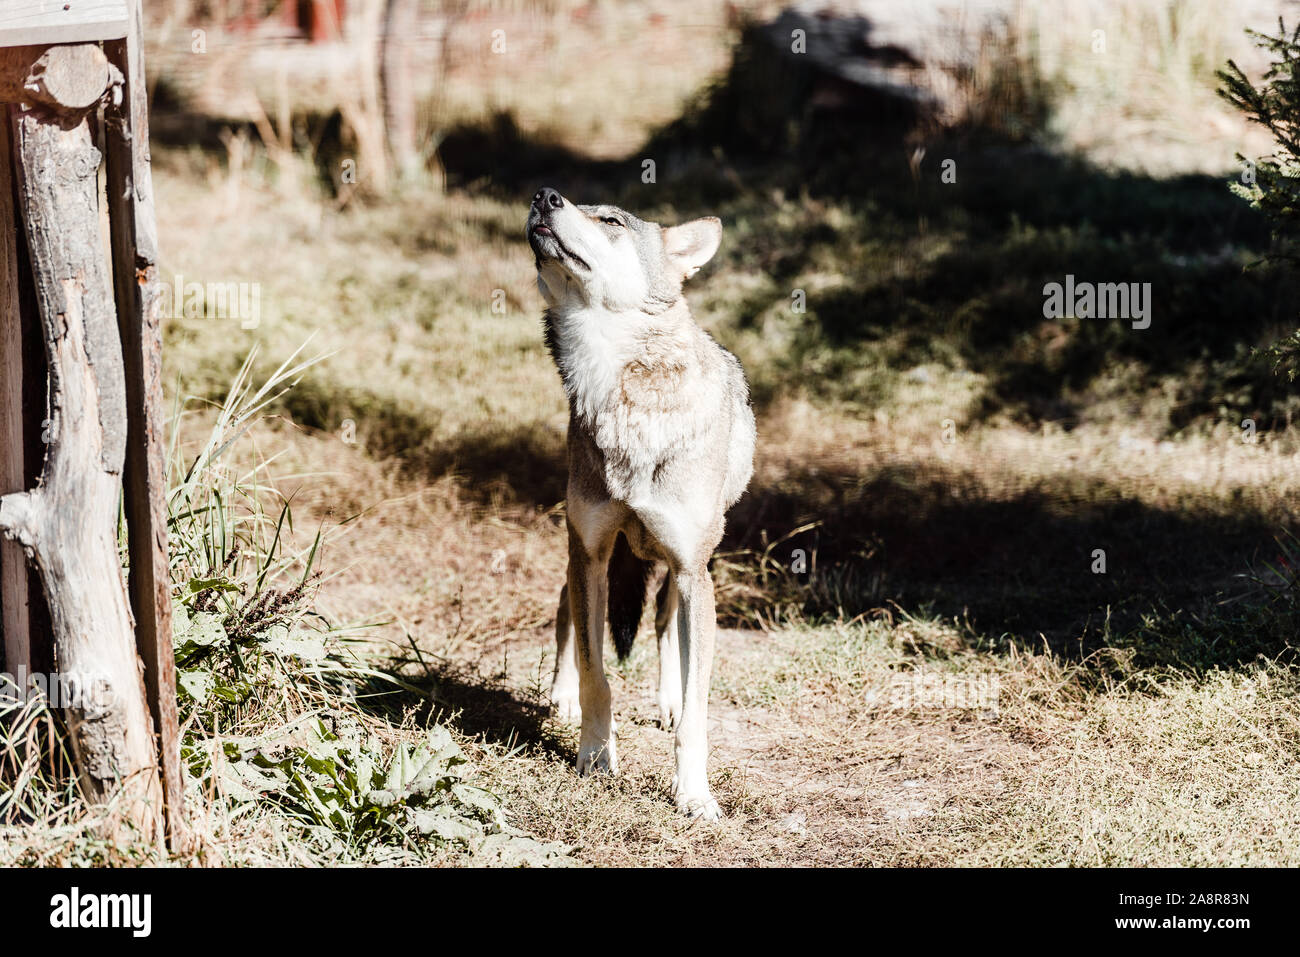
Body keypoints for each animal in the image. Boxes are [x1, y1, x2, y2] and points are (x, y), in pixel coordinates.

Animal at [527, 186, 755, 819]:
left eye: (611, 221)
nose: (544, 195)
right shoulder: (591, 553)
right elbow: (596, 675)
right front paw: (594, 760)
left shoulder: (693, 570)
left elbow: (697, 714)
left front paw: (694, 796)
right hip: (583, 559)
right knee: (565, 615)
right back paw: (560, 700)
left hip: (684, 570)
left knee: (663, 626)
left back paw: (668, 702)